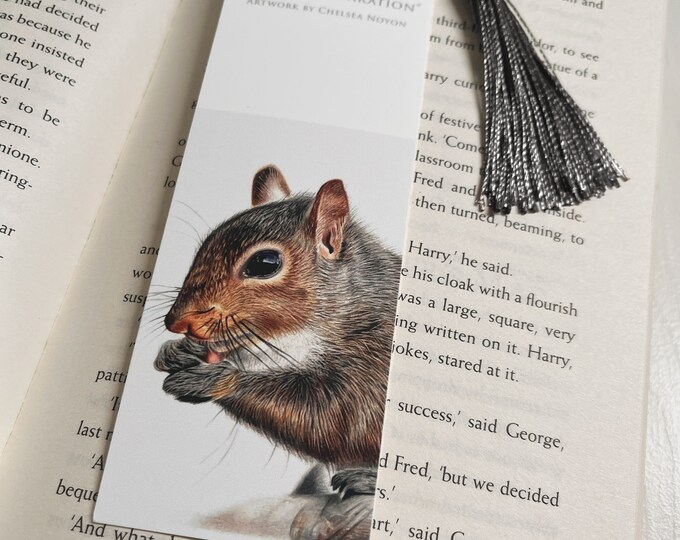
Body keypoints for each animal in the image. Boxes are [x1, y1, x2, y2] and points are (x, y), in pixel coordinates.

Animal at [154, 165, 400, 501]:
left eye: (265, 263)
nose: (177, 322)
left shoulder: (368, 368)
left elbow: (327, 416)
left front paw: (212, 379)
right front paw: (181, 350)